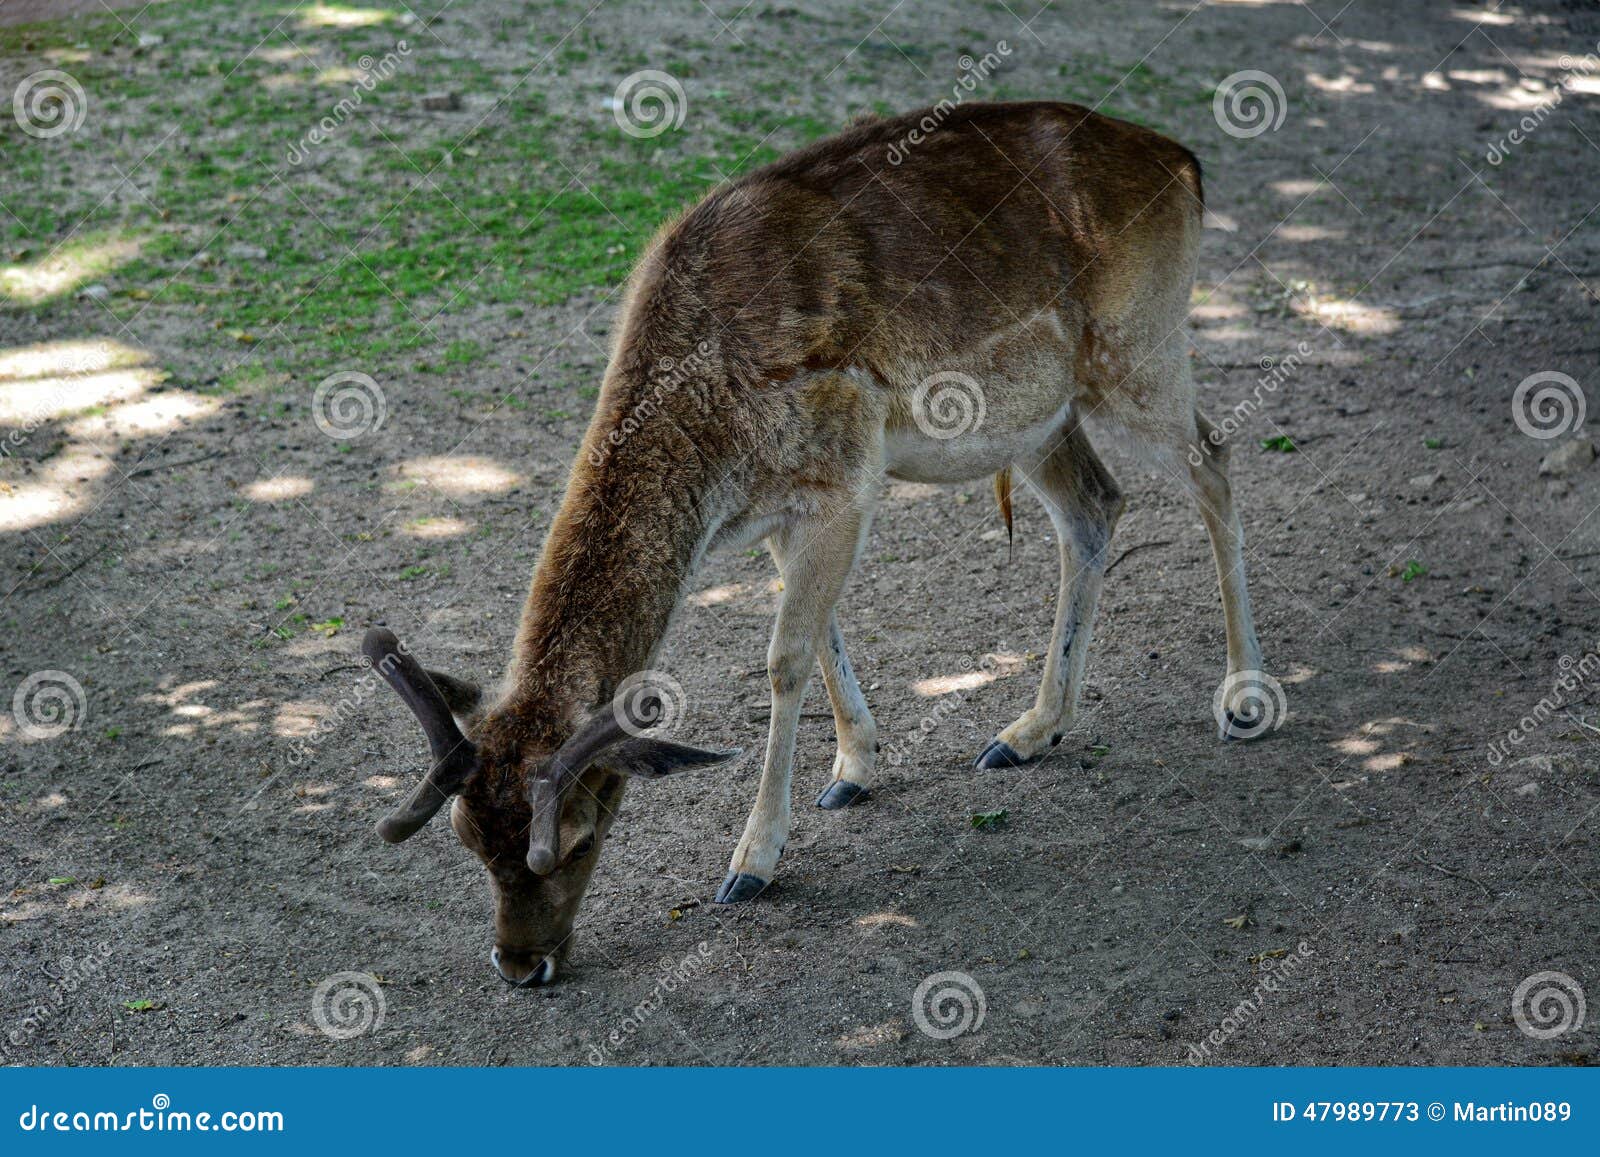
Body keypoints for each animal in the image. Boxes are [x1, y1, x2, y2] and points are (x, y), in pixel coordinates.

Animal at [359, 100, 1266, 986]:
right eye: (467, 836)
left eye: (579, 836)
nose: (519, 963)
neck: (710, 426)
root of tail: (1183, 162)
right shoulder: (778, 509)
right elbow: (820, 630)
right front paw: (856, 768)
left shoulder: (842, 479)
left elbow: (784, 657)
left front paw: (752, 860)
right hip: (1039, 414)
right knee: (1096, 506)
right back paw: (1030, 729)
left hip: (1137, 349)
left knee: (1215, 462)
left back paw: (1243, 699)